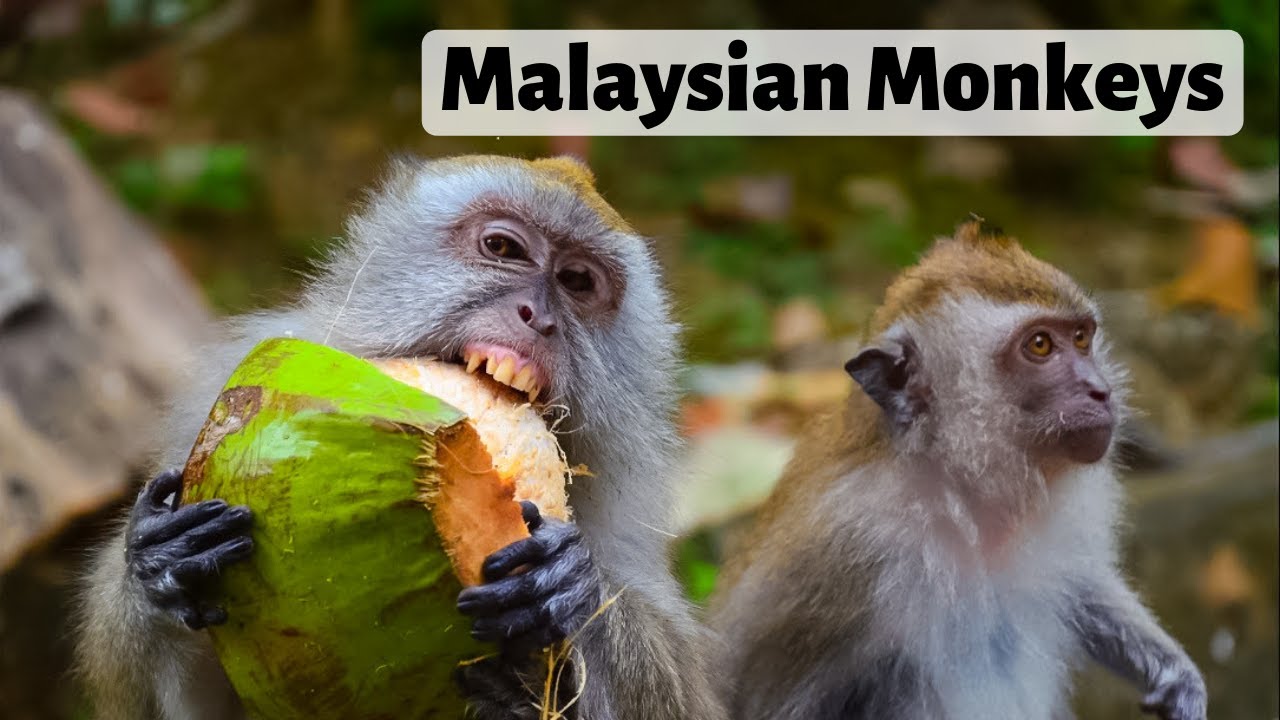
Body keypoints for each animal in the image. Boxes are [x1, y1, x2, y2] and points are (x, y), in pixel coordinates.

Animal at [709, 220, 1207, 720]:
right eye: (1040, 345)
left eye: (1082, 337)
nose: (1100, 391)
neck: (960, 488)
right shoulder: (842, 558)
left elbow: (1084, 587)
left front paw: (1176, 675)